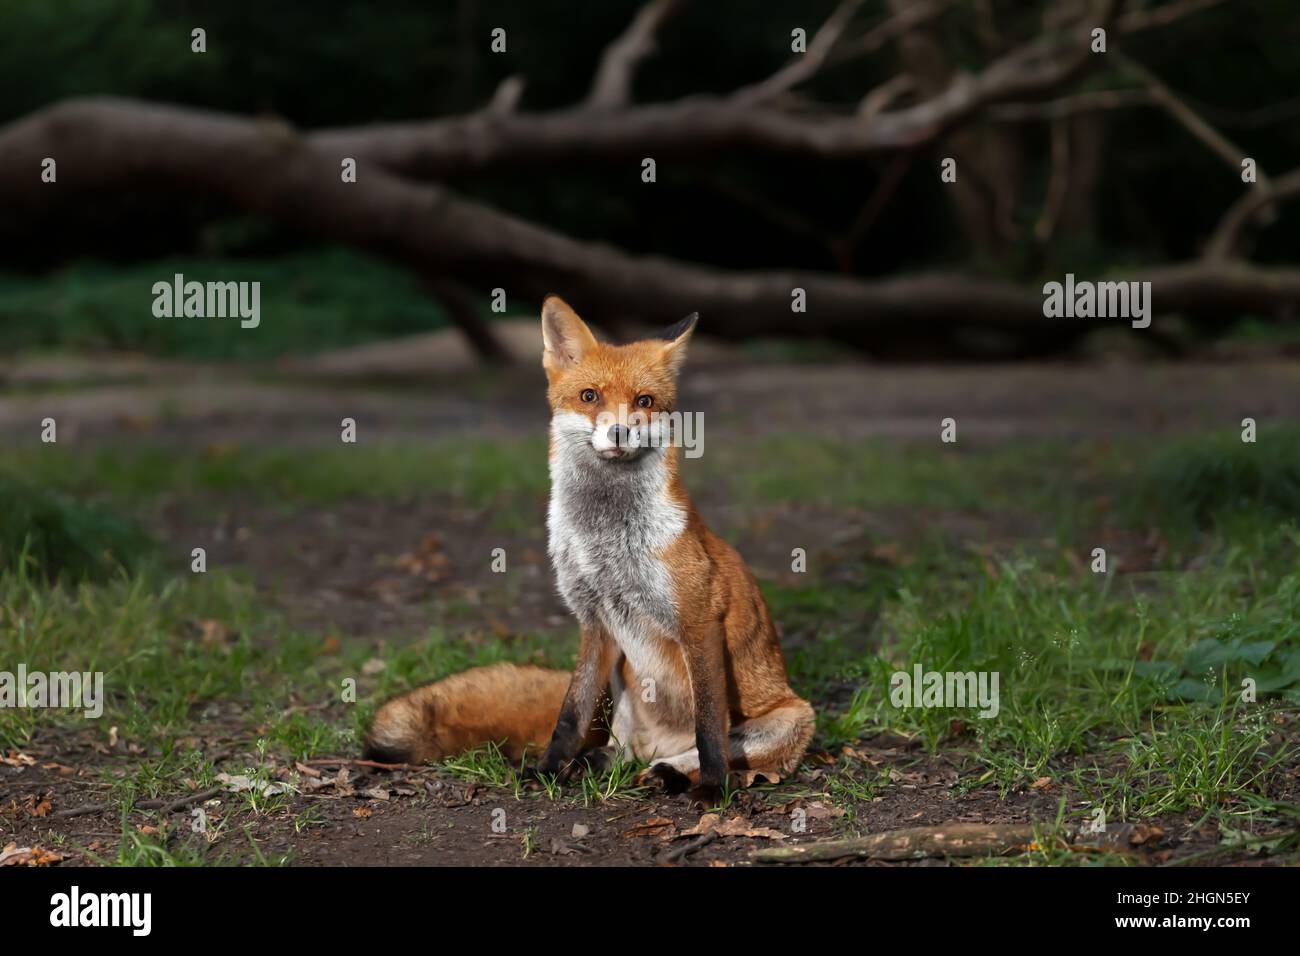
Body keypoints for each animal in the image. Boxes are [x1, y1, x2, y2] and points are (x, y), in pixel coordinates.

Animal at [366, 295, 815, 808]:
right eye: (589, 396)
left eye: (644, 402)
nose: (619, 431)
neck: (606, 543)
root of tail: (660, 743)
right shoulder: (595, 621)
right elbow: (568, 715)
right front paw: (546, 771)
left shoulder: (698, 622)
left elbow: (709, 729)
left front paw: (712, 790)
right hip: (624, 687)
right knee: (622, 748)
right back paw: (596, 764)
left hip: (792, 719)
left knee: (708, 751)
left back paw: (674, 775)